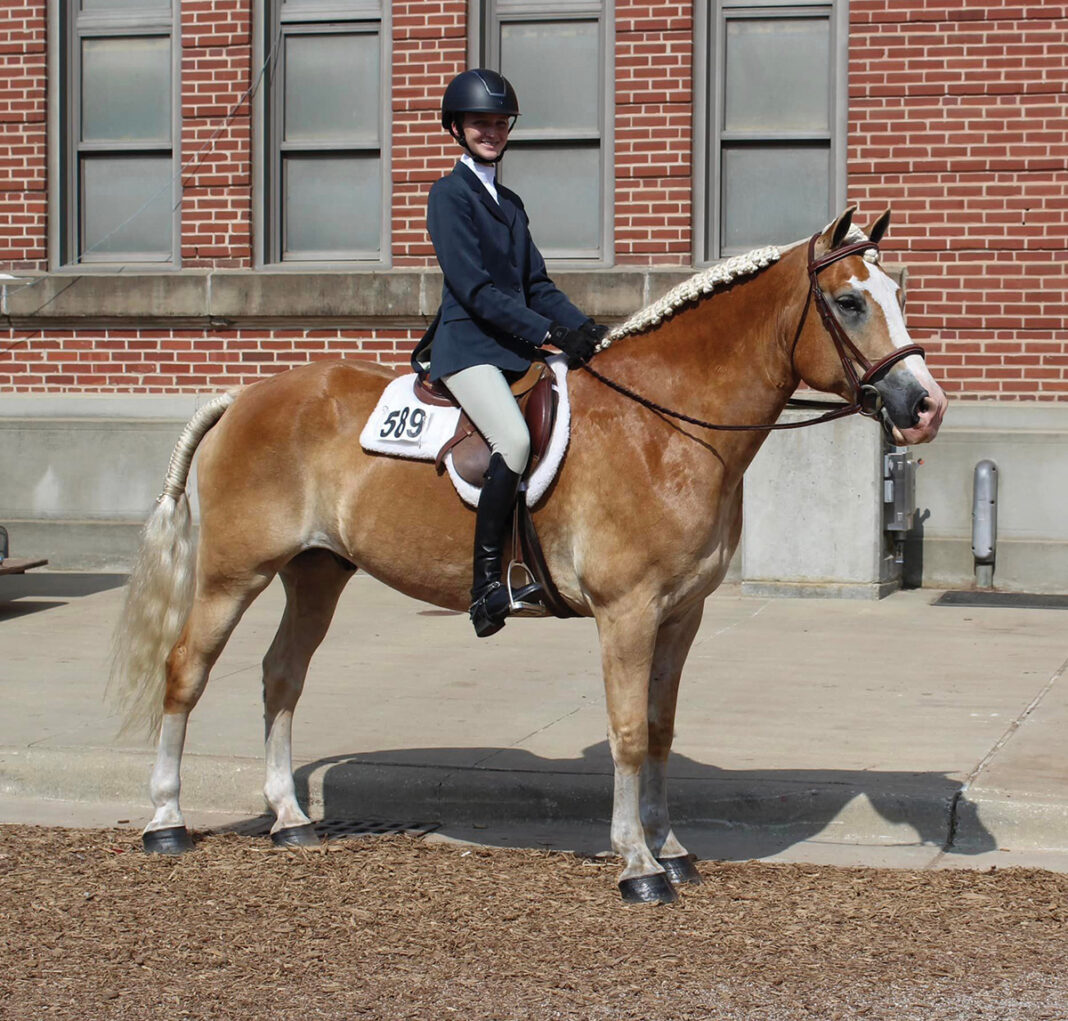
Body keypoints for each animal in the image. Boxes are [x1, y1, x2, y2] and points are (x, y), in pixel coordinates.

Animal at [109, 208, 947, 904]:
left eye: (896, 290)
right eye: (850, 302)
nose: (925, 407)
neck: (666, 422)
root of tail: (245, 396)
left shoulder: (682, 614)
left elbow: (662, 727)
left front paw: (671, 846)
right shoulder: (627, 611)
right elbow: (629, 730)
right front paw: (638, 864)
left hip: (316, 572)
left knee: (281, 675)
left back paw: (289, 817)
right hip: (232, 575)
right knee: (186, 671)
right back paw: (166, 821)